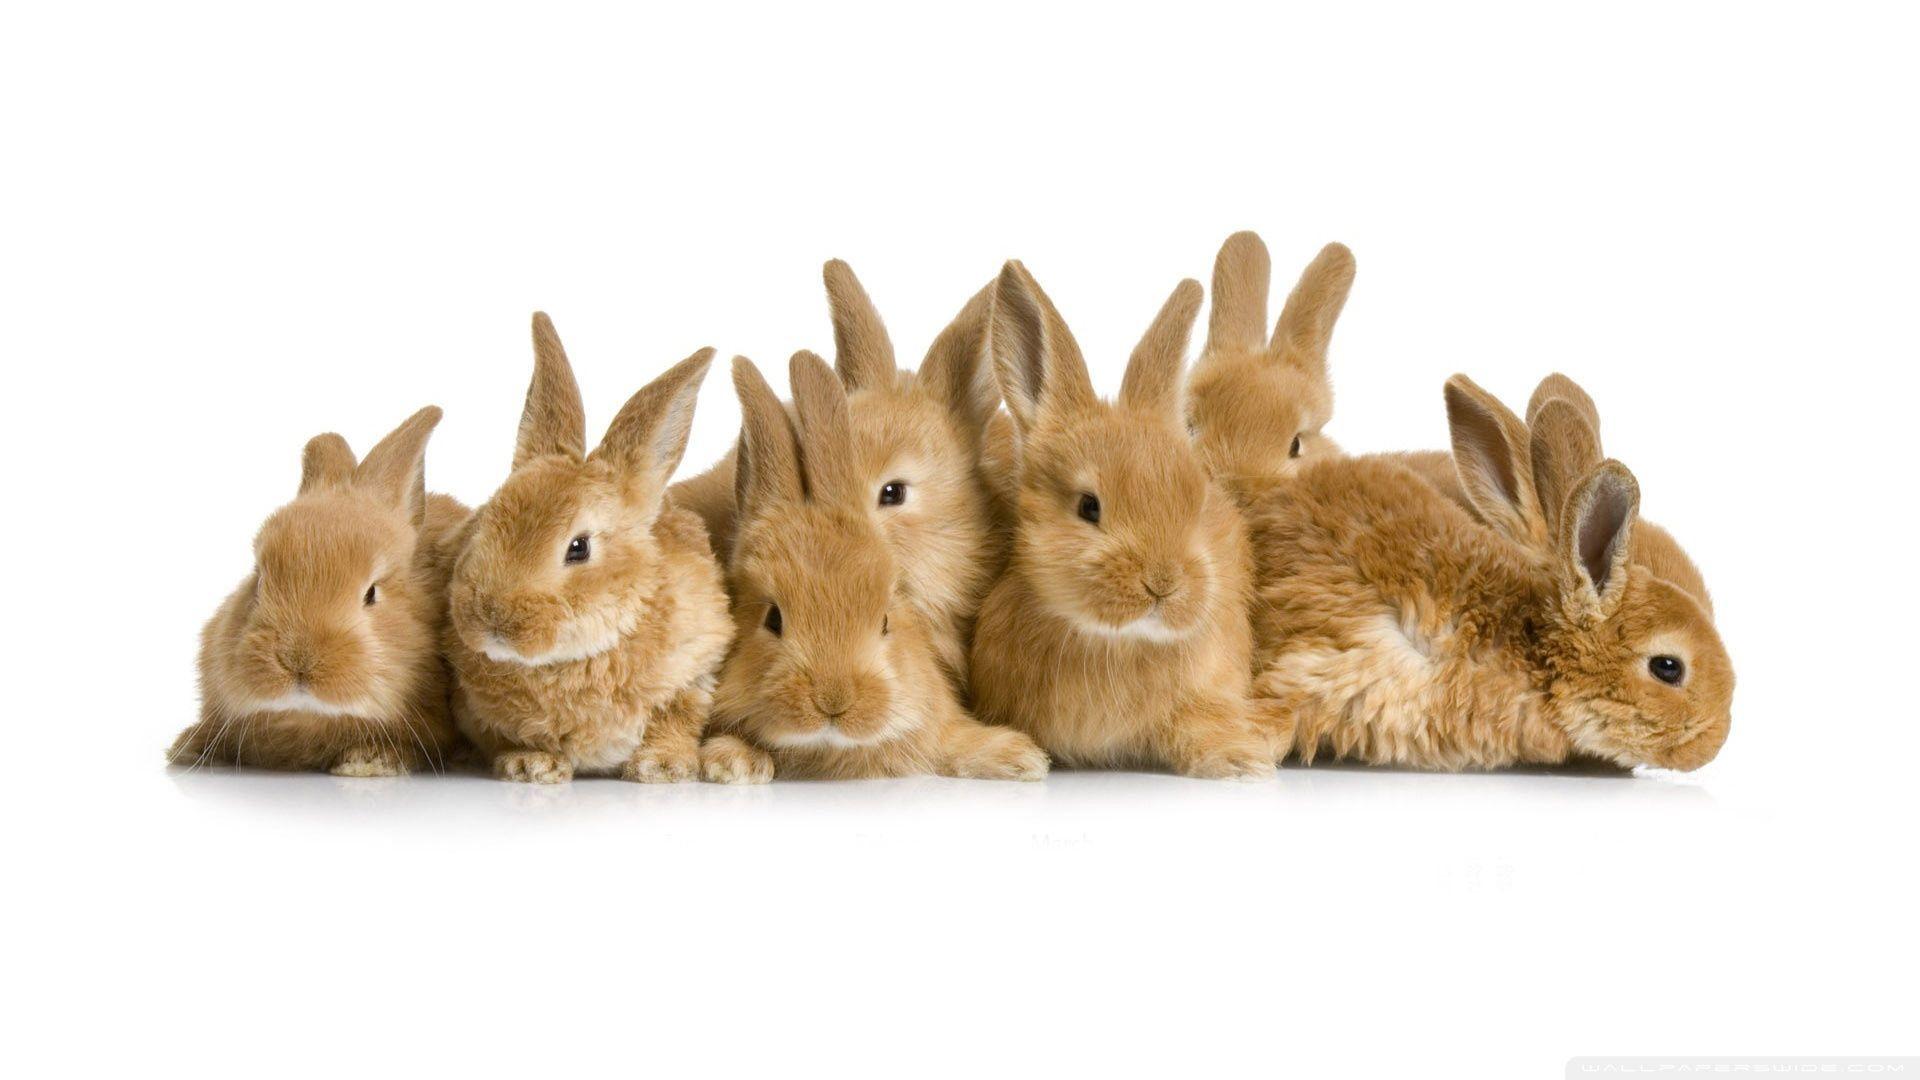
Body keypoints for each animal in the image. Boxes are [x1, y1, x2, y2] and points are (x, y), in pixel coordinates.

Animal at [443, 313, 732, 784]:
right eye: (484, 522)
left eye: (578, 548)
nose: (492, 619)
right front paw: (531, 765)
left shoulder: (696, 670)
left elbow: (676, 718)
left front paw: (663, 767)